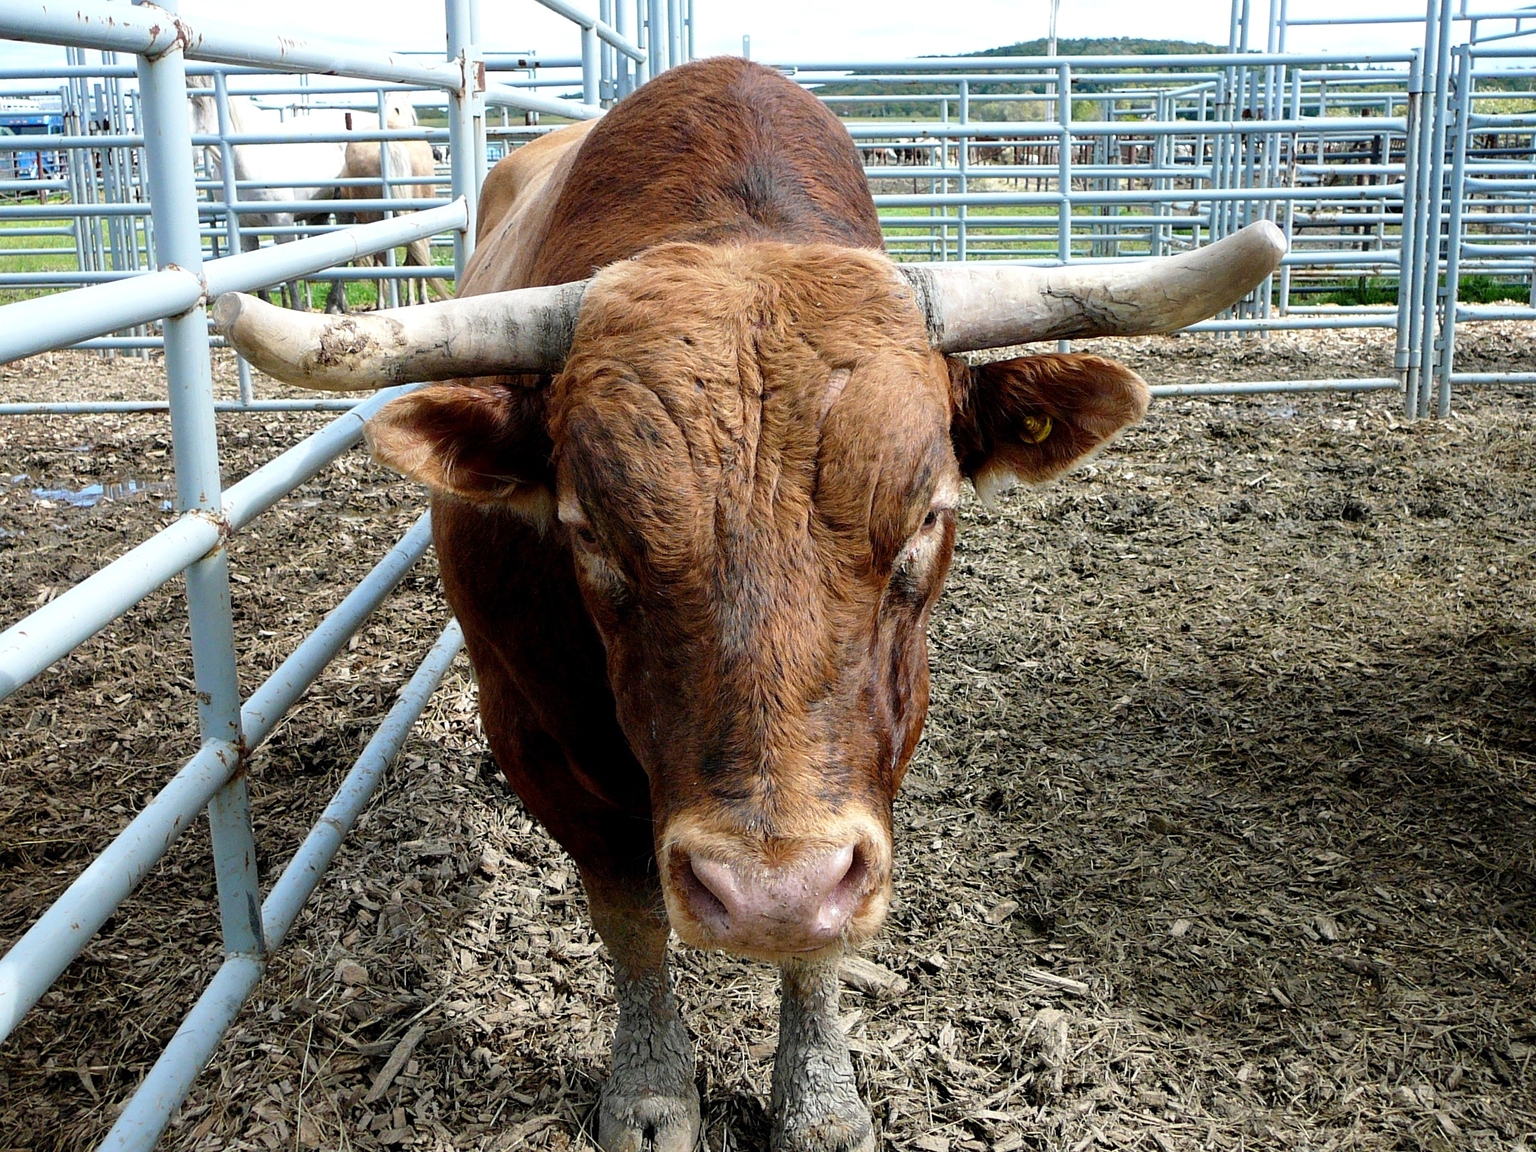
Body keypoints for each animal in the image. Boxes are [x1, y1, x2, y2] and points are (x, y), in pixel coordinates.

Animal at [214, 57, 1283, 1152]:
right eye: (589, 529)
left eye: (929, 515)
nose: (767, 892)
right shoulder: (544, 748)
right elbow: (631, 917)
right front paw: (650, 1089)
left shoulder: (881, 750)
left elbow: (825, 933)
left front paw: (819, 1094)